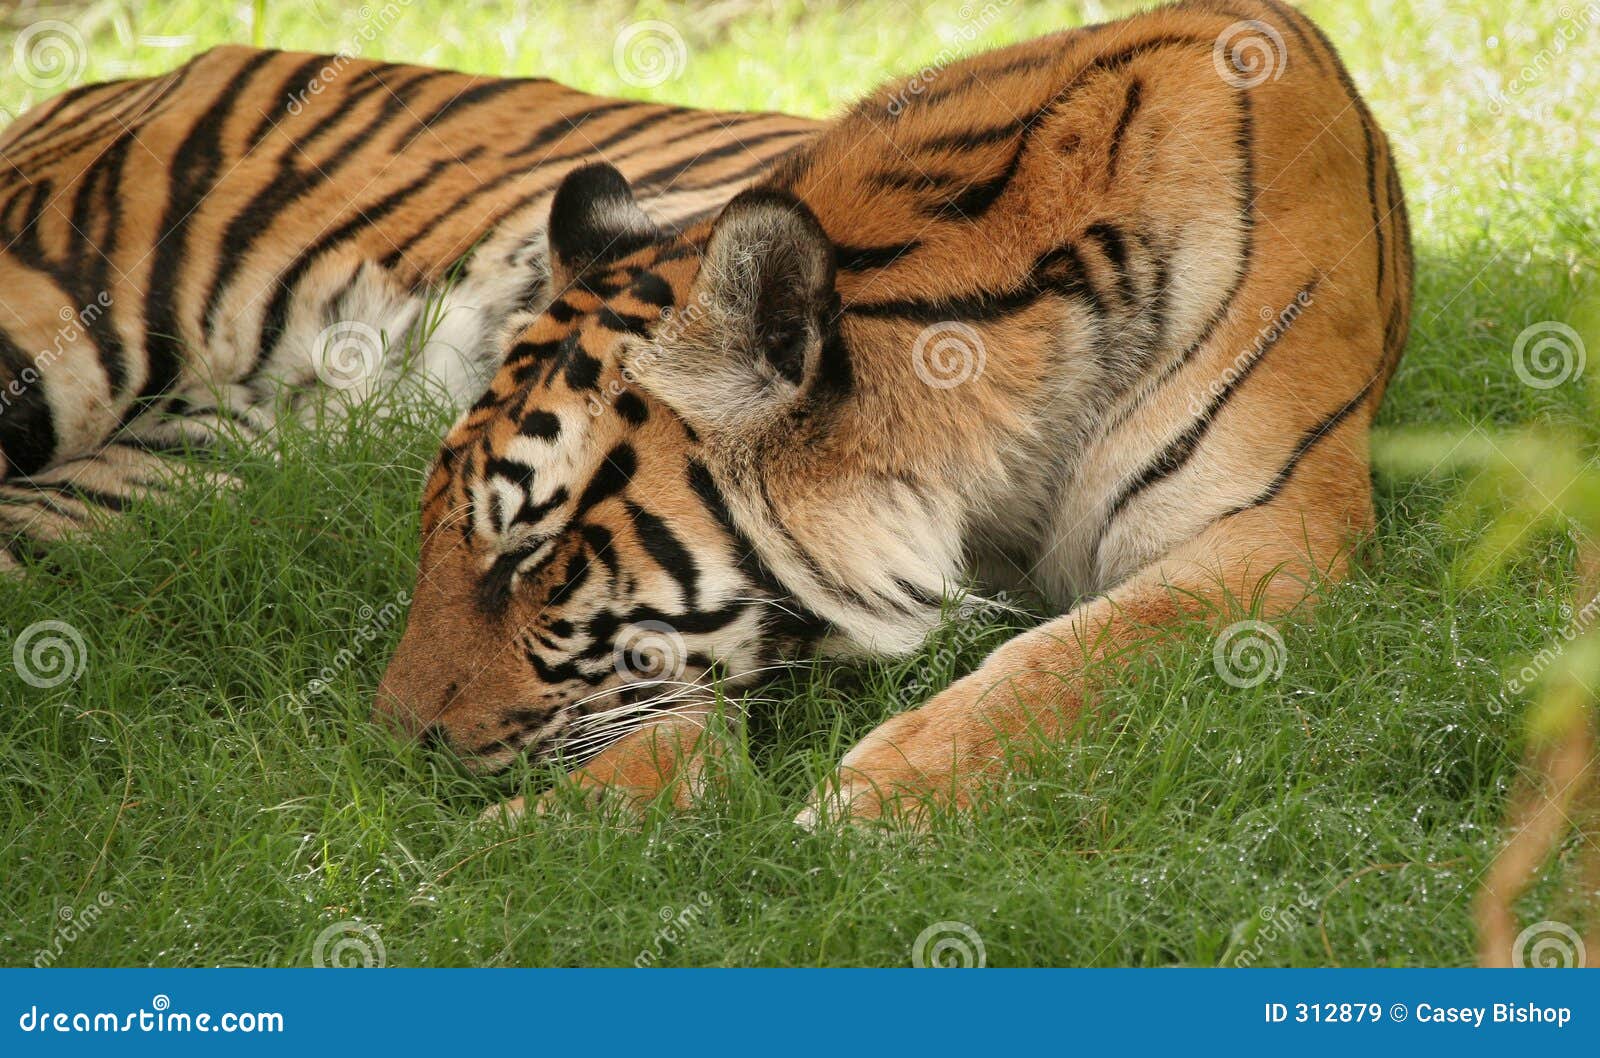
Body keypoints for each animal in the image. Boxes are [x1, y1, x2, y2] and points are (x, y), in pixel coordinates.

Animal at [372, 0, 1412, 827]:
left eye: (530, 555)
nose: (390, 743)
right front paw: (549, 827)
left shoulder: (1276, 530)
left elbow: (1087, 651)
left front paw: (873, 799)